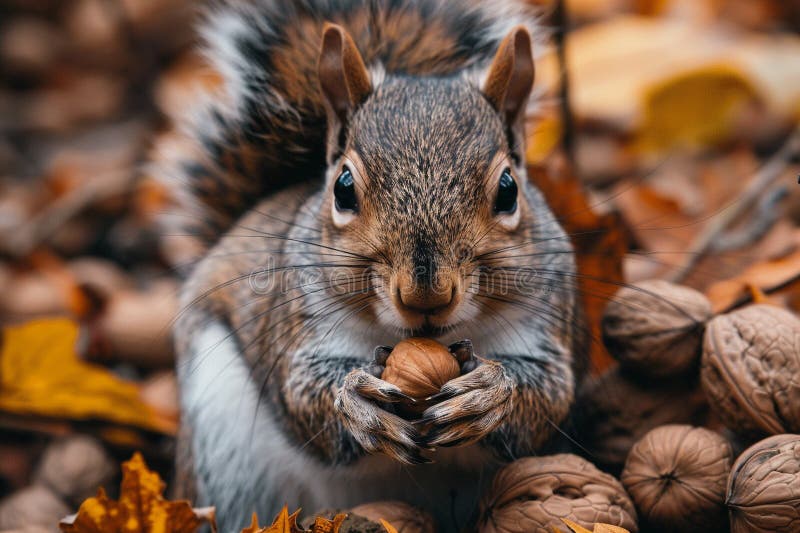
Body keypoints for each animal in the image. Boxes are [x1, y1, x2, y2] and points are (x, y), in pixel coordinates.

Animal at [154, 0, 587, 531]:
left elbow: (547, 394)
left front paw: (490, 393)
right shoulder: (295, 324)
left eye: (509, 190)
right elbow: (305, 395)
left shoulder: (549, 325)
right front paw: (357, 402)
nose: (426, 295)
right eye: (343, 188)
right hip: (224, 446)